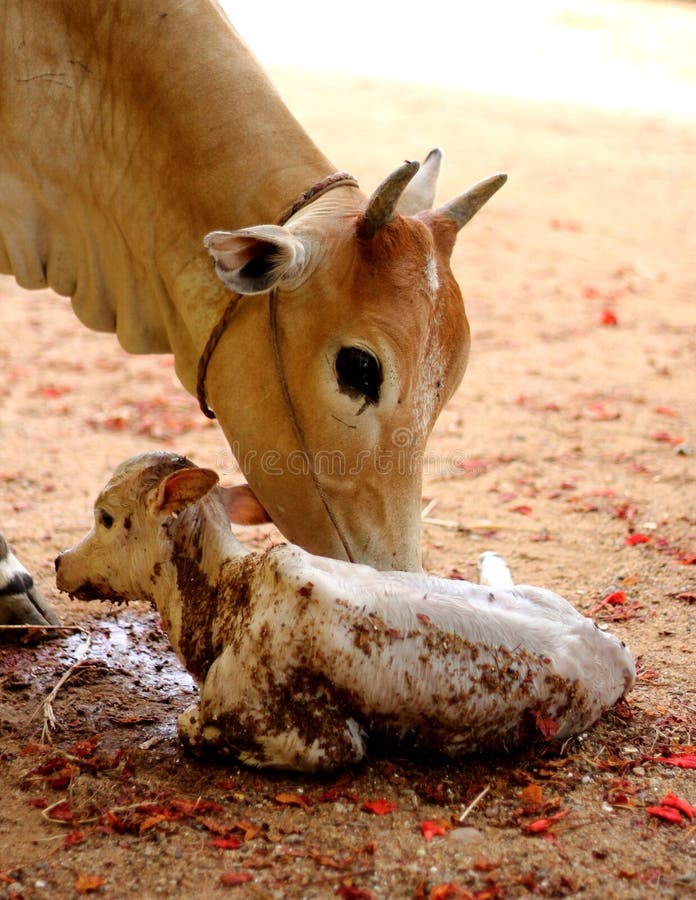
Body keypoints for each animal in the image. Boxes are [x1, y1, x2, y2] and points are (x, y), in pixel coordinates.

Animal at [53, 450, 632, 772]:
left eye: (105, 517)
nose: (59, 561)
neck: (227, 597)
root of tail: (616, 652)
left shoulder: (317, 739)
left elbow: (187, 725)